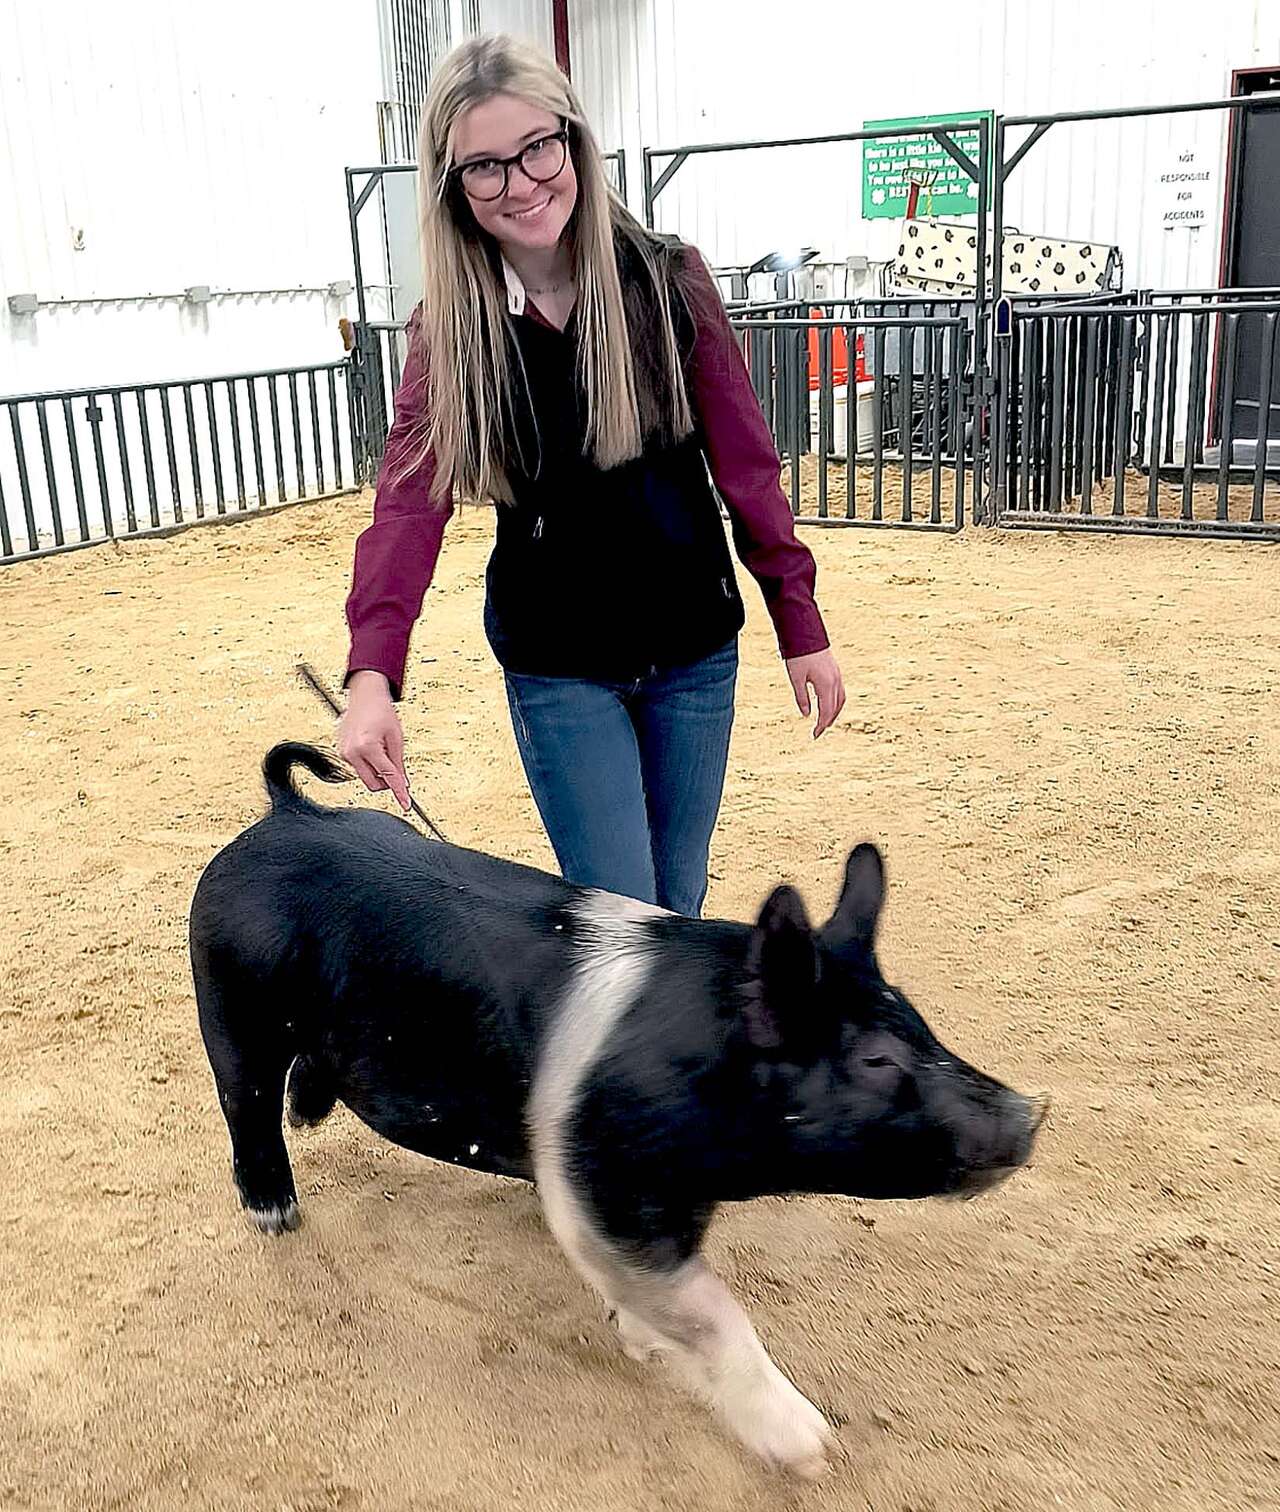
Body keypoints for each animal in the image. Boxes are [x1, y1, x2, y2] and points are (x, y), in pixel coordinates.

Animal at [191, 742, 1045, 1478]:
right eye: (873, 1059)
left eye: (918, 1021)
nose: (1029, 1112)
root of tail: (287, 812)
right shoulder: (599, 1186)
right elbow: (711, 1309)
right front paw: (812, 1449)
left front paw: (643, 1341)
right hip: (230, 1006)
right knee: (246, 1111)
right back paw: (277, 1216)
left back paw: (307, 1119)